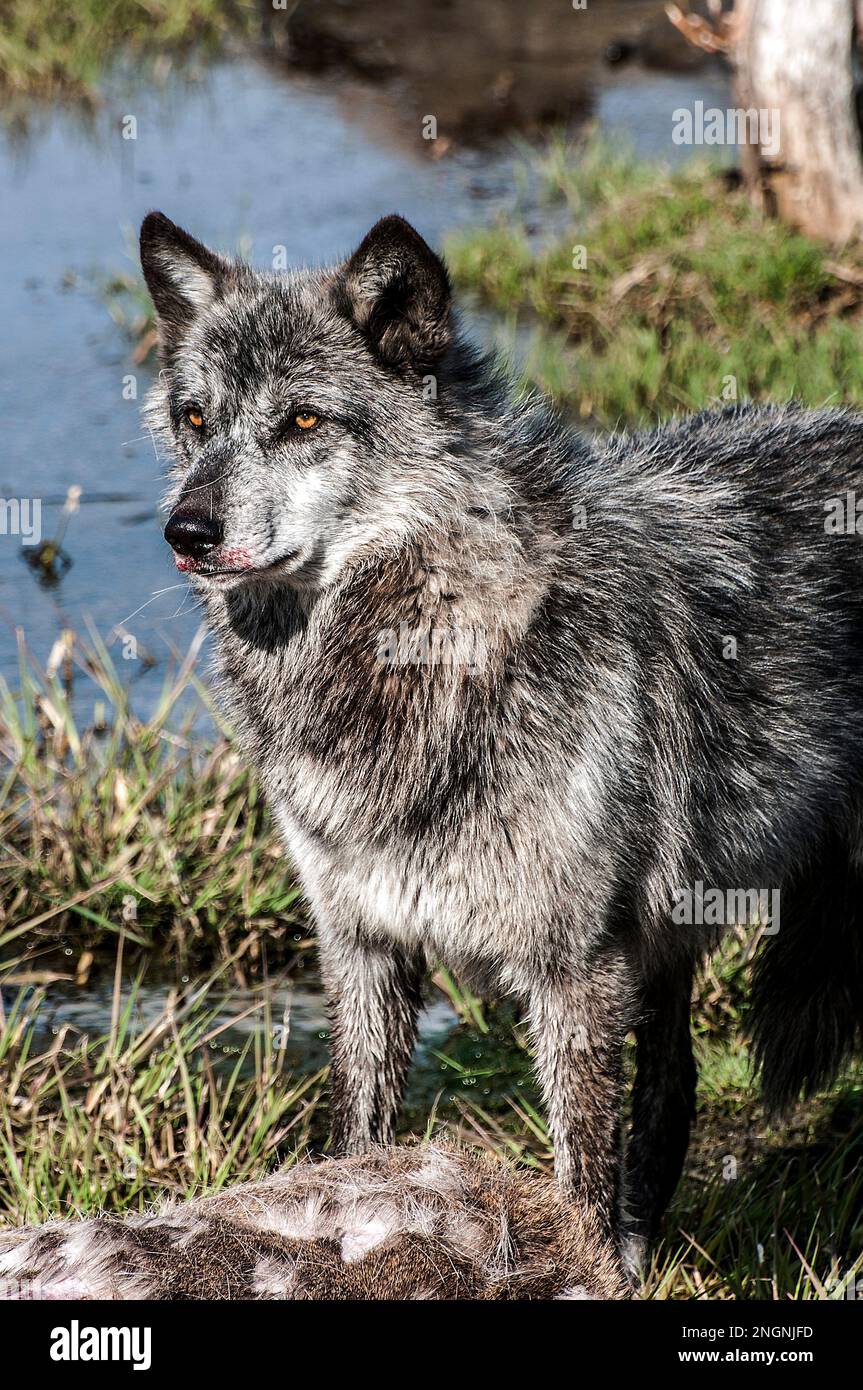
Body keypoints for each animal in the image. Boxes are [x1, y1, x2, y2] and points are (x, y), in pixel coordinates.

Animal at [140, 210, 863, 1262]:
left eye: (303, 421)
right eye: (195, 419)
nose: (185, 530)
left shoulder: (573, 973)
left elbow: (579, 1182)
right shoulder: (363, 948)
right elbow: (355, 1140)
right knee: (672, 1091)